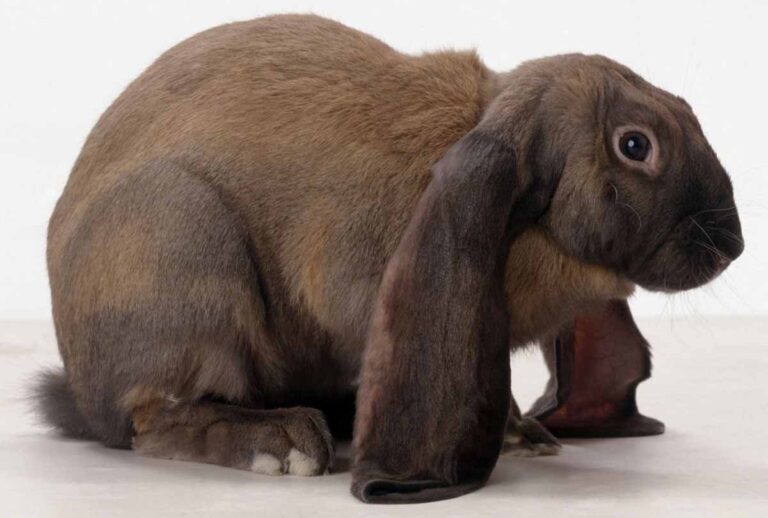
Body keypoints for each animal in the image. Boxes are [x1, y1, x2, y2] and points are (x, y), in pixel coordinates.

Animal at [35, 14, 743, 504]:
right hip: (183, 244)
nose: (734, 245)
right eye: (635, 144)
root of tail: (81, 393)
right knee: (152, 419)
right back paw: (283, 443)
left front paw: (522, 433)